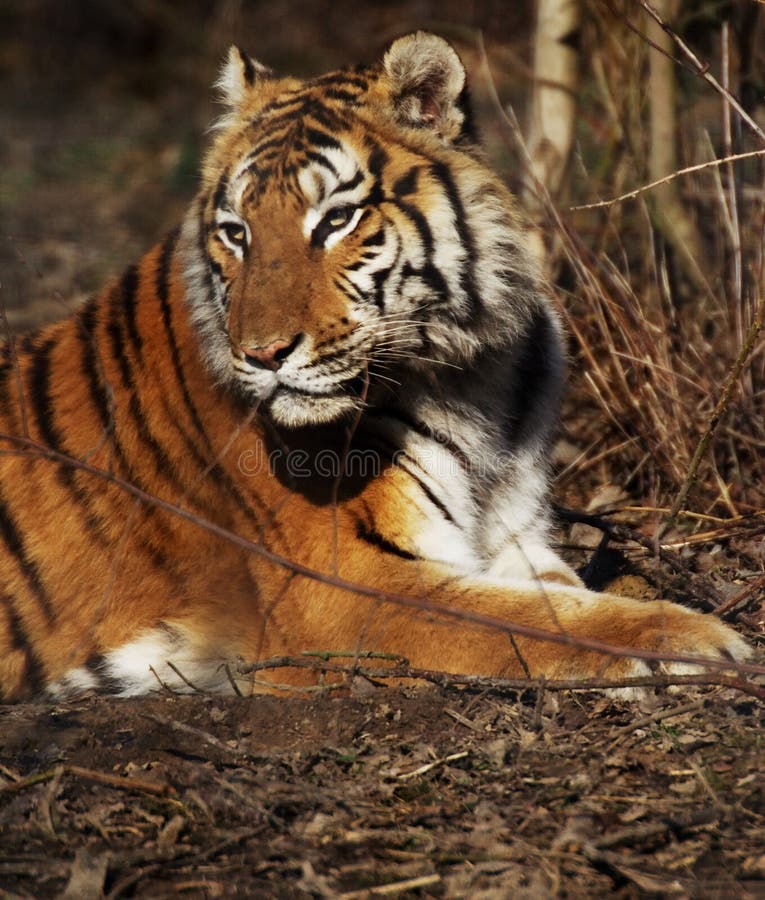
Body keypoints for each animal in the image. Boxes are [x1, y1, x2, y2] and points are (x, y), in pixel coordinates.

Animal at [0, 32, 749, 701]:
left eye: (335, 220)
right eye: (236, 232)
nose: (262, 355)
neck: (470, 377)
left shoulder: (515, 535)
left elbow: (560, 594)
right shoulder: (344, 588)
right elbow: (534, 620)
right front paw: (698, 643)